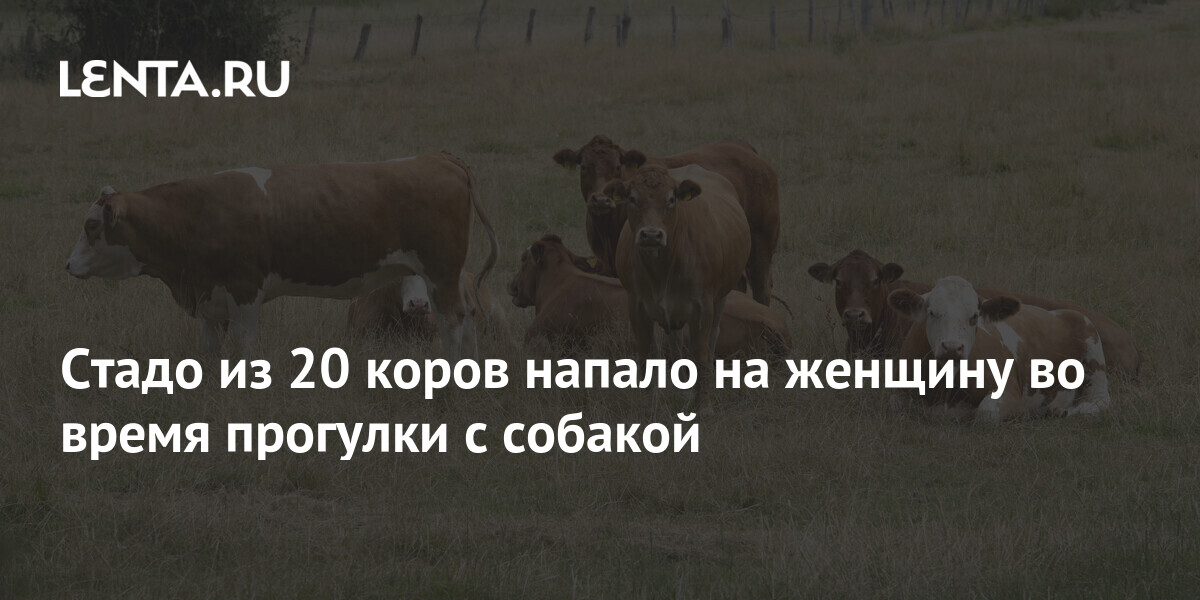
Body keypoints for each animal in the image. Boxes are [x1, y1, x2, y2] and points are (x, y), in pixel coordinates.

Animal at [552, 135, 779, 306]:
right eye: (583, 167)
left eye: (617, 167)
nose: (600, 199)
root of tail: (744, 148)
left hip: (761, 244)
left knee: (762, 287)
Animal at [610, 165, 751, 411]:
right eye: (632, 198)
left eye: (671, 199)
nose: (651, 235)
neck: (663, 268)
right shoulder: (636, 306)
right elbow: (646, 354)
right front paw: (649, 401)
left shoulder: (703, 307)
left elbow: (700, 353)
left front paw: (703, 404)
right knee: (675, 343)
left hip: (720, 297)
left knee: (712, 339)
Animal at [888, 276, 1111, 421]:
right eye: (932, 313)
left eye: (974, 316)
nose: (952, 347)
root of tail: (1063, 311)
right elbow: (896, 404)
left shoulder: (1011, 396)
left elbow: (987, 412)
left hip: (1095, 367)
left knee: (1100, 404)